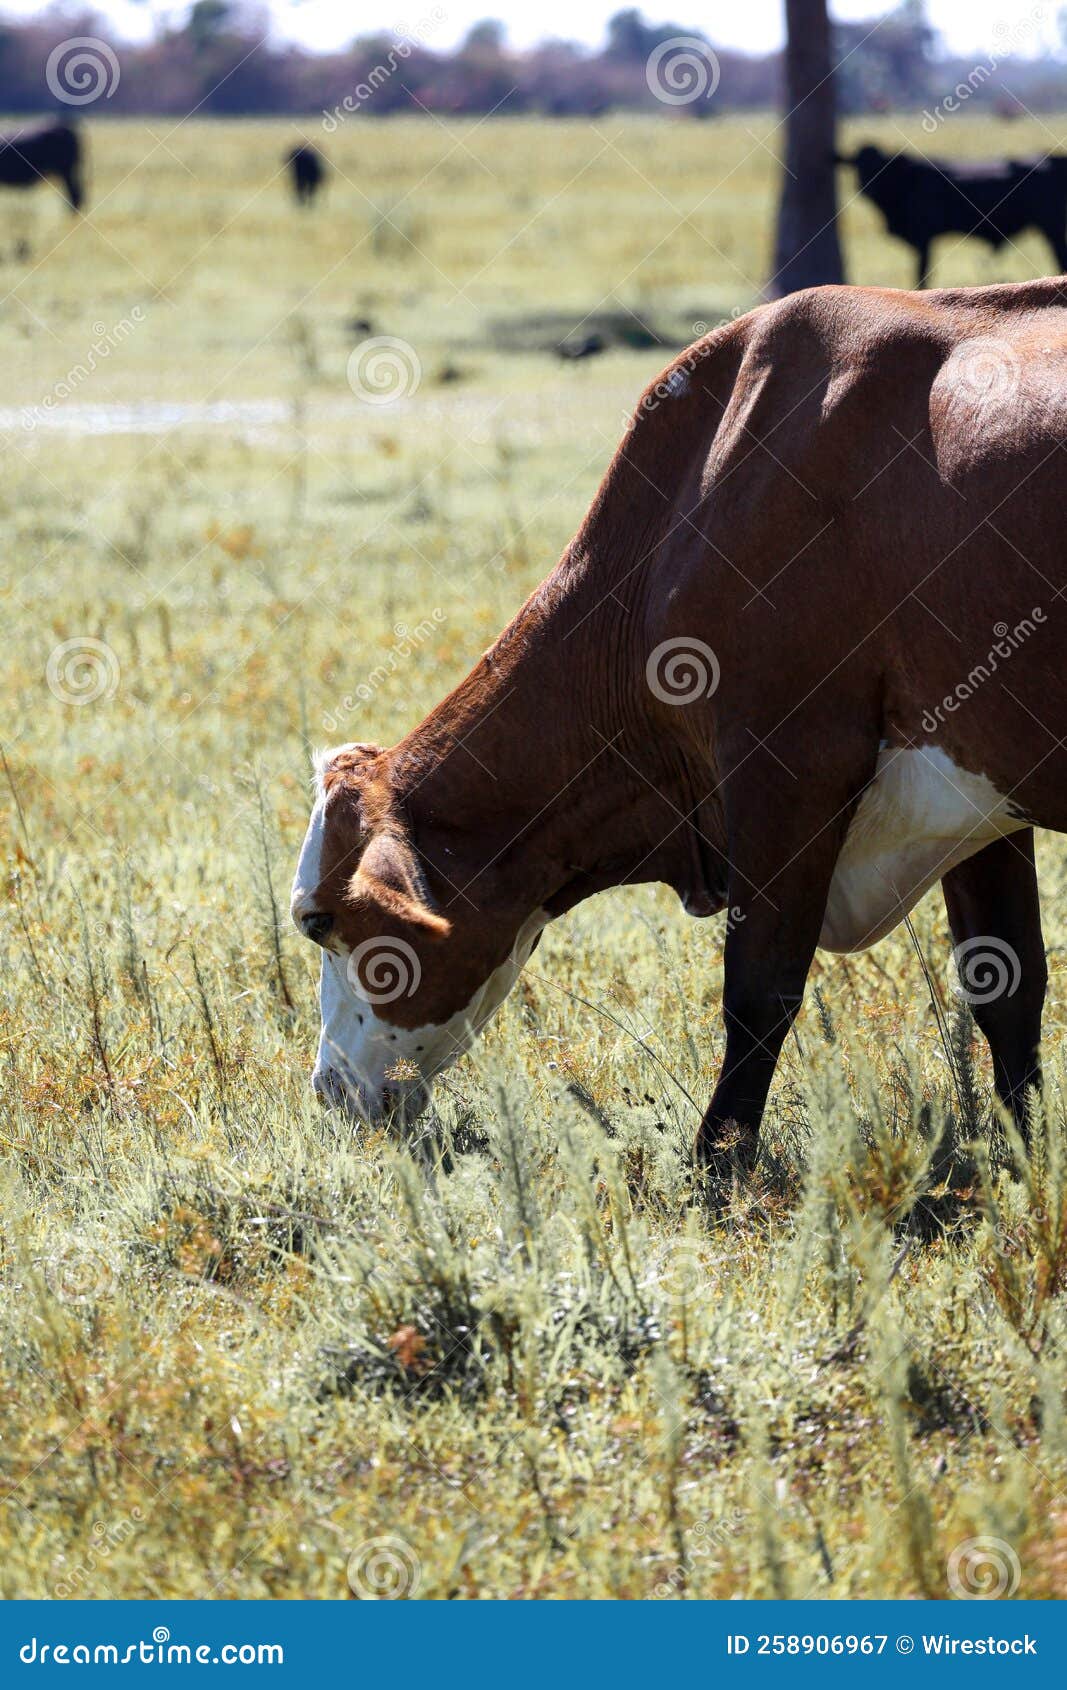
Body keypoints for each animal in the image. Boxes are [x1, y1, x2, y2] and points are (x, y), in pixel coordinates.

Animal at [291, 276, 1067, 1177]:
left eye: (319, 922)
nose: (327, 1089)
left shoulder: (784, 766)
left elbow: (759, 988)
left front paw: (715, 1165)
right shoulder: (974, 792)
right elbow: (1005, 983)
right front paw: (1025, 1158)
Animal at [839, 144, 1067, 288]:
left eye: (878, 165)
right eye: (857, 165)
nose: (865, 188)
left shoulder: (924, 238)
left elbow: (922, 273)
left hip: (1052, 229)